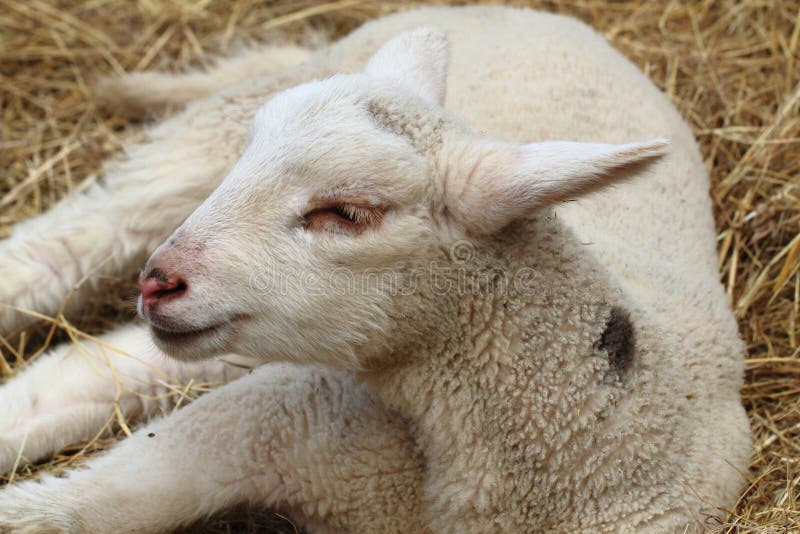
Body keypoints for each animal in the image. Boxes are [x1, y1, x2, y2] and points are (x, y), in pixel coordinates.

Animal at [0, 5, 751, 533]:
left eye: (348, 212)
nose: (159, 281)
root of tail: (543, 15)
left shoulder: (295, 404)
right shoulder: (277, 417)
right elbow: (77, 508)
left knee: (94, 369)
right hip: (212, 134)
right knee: (70, 244)